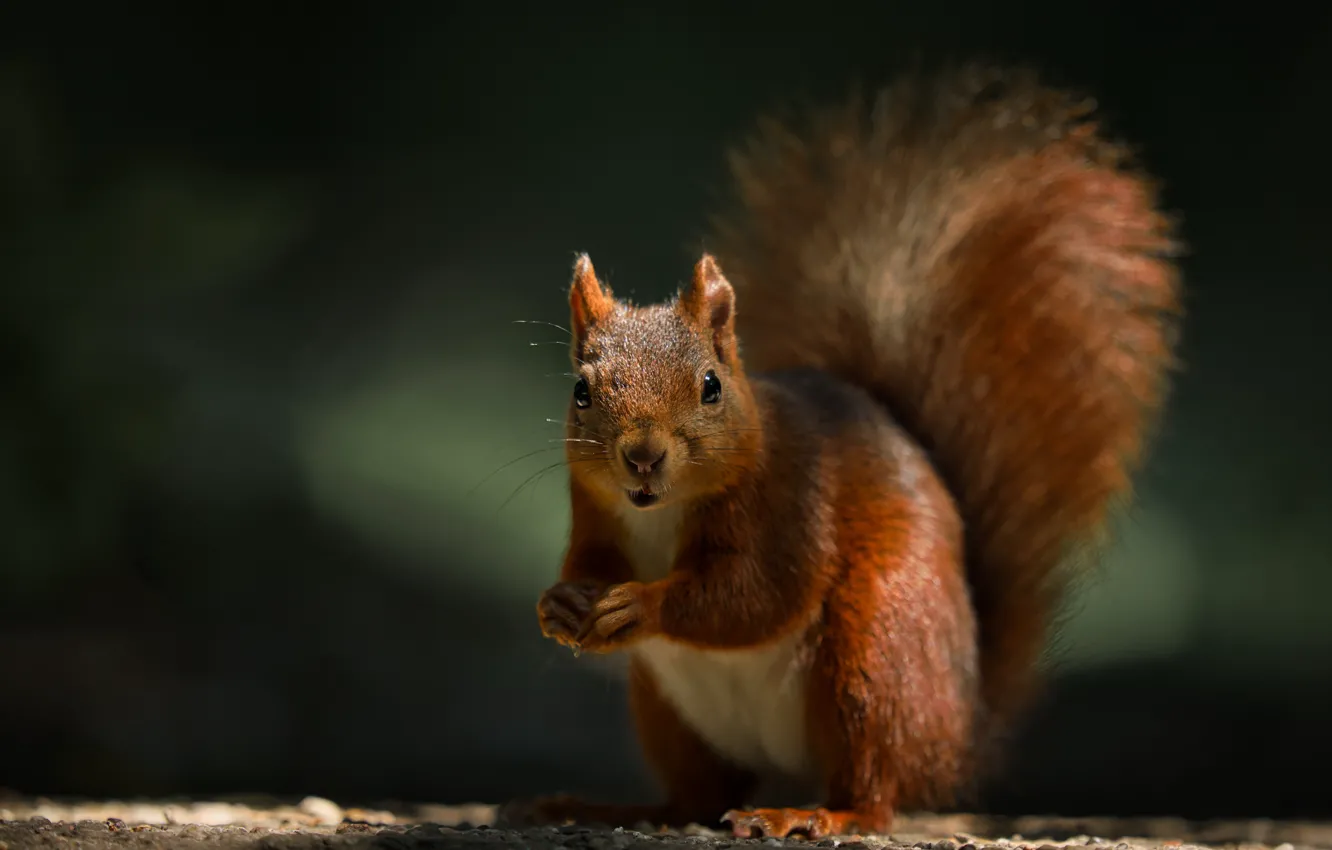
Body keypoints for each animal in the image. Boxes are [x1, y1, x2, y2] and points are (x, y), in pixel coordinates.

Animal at [527, 64, 1181, 839]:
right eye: (581, 391)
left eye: (711, 386)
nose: (642, 456)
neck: (658, 512)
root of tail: (960, 735)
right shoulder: (595, 511)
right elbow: (591, 564)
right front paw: (560, 603)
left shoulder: (788, 505)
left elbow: (755, 596)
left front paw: (640, 605)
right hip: (666, 708)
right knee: (696, 796)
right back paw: (615, 807)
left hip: (875, 648)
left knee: (875, 789)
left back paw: (811, 813)